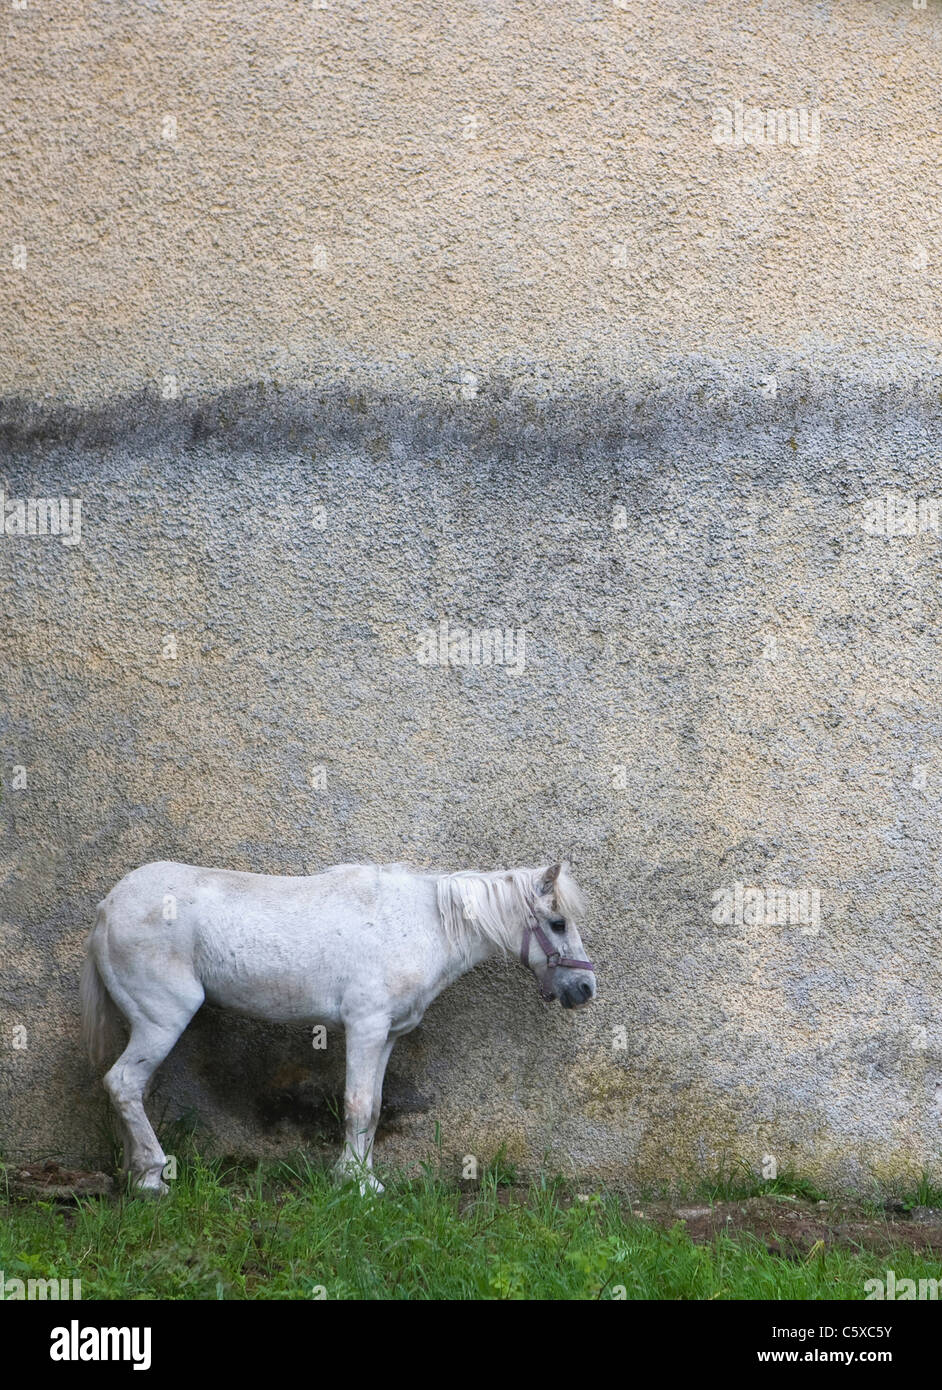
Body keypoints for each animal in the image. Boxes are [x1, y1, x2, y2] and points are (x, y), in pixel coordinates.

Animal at [80, 859, 596, 1194]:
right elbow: (359, 1105)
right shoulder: (365, 1027)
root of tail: (109, 905)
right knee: (123, 1083)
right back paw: (152, 1178)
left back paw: (134, 1173)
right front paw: (359, 1185)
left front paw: (360, 1177)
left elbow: (375, 1105)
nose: (585, 988)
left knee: (129, 1089)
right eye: (557, 922)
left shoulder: (386, 1035)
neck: (423, 925)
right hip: (163, 1018)